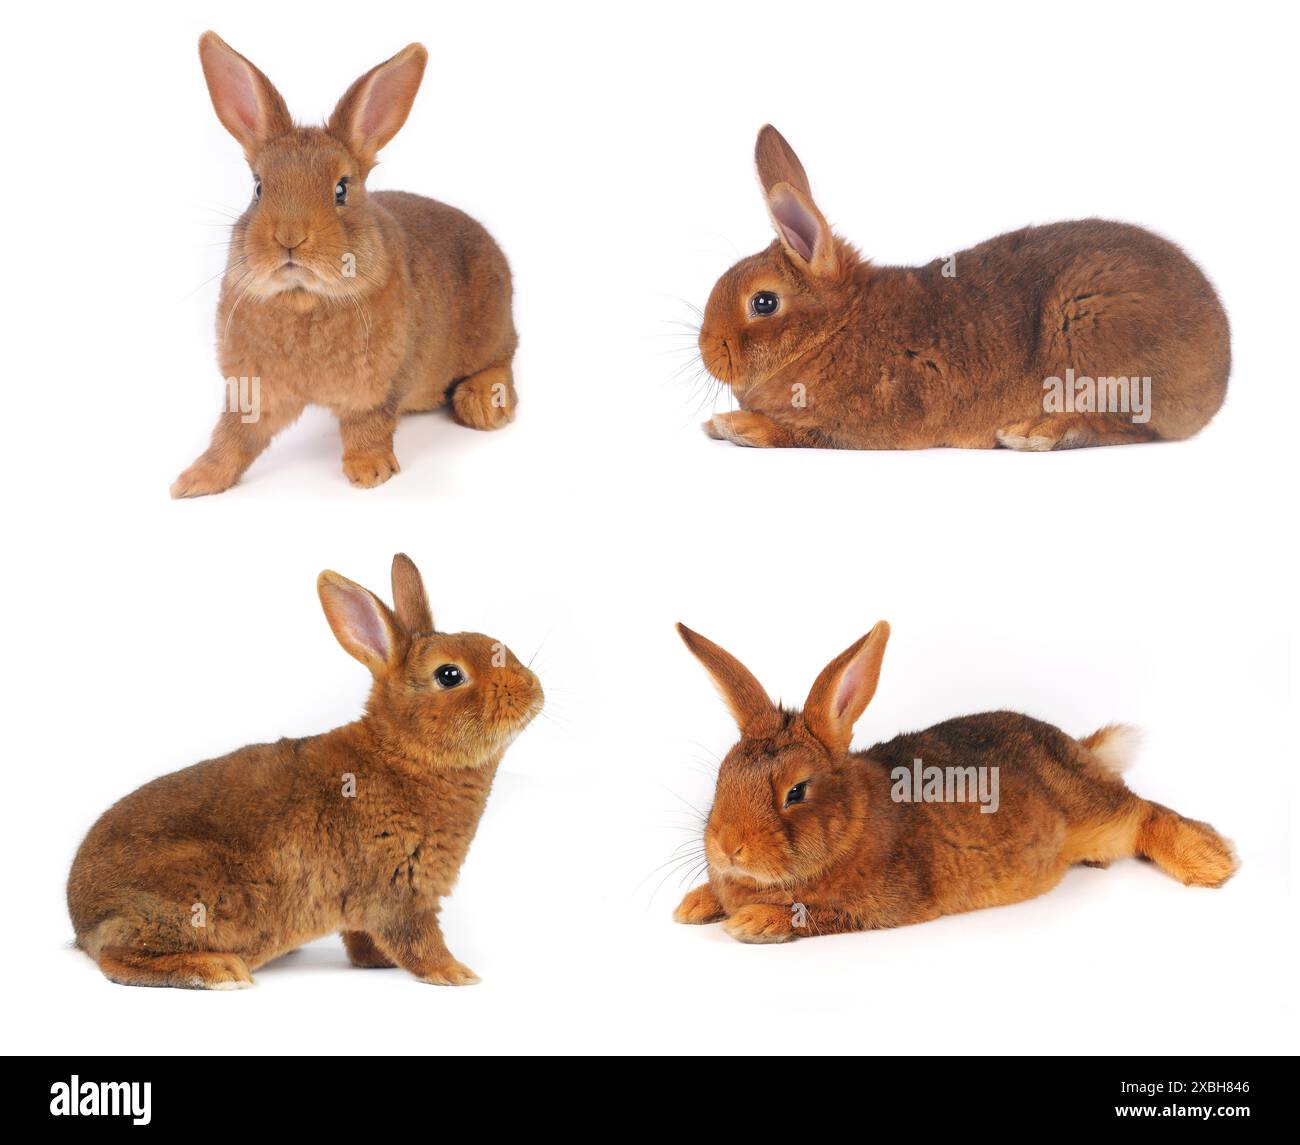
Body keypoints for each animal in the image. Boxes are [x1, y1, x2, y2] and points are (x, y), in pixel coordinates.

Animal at [67, 554, 542, 988]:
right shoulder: (397, 890)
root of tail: (80, 920)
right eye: (449, 675)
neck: (403, 753)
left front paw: (377, 963)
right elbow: (418, 940)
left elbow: (363, 938)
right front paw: (457, 974)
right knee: (118, 959)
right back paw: (219, 970)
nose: (533, 691)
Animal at [171, 33, 518, 497]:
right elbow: (234, 437)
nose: (290, 237)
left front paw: (369, 472)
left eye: (341, 189)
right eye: (258, 188)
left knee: (504, 358)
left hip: (492, 332)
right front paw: (194, 481)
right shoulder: (254, 392)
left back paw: (482, 404)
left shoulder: (374, 389)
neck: (303, 299)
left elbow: (366, 426)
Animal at [672, 622, 1236, 943]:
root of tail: (1079, 748)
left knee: (1144, 812)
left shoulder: (881, 903)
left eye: (796, 791)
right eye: (722, 776)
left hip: (1094, 812)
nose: (728, 847)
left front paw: (752, 922)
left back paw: (1211, 862)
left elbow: (810, 911)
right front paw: (694, 904)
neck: (853, 820)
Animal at [696, 126, 1229, 451]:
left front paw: (735, 425)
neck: (834, 328)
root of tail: (1221, 363)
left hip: (1097, 340)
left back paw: (1037, 431)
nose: (706, 351)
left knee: (1130, 427)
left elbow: (800, 434)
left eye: (764, 302)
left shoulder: (861, 423)